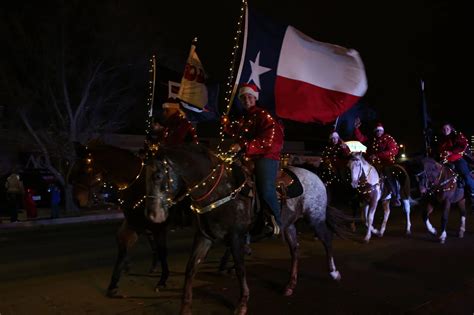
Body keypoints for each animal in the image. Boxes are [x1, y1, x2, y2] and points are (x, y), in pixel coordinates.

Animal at [70, 144, 174, 298]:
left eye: (84, 169)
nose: (77, 201)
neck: (138, 184)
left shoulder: (158, 227)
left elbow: (161, 250)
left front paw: (162, 279)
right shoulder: (134, 223)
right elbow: (124, 245)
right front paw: (114, 284)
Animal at [145, 144, 352, 315]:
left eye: (158, 176)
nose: (153, 215)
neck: (219, 190)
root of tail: (316, 177)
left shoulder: (236, 237)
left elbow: (240, 268)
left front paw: (242, 303)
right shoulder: (204, 237)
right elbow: (191, 268)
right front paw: (185, 308)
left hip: (315, 218)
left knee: (327, 239)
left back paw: (334, 273)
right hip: (289, 225)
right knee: (295, 250)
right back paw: (290, 285)